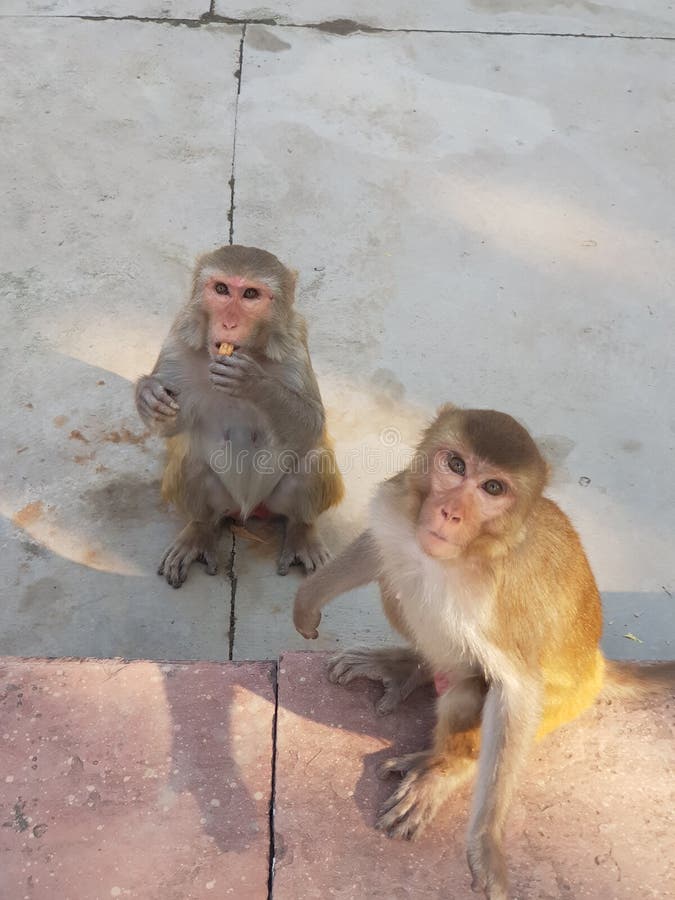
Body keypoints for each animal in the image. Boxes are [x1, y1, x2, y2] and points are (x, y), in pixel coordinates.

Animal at [135, 244, 344, 588]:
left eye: (250, 294)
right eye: (221, 289)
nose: (229, 324)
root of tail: (248, 511)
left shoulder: (293, 346)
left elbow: (312, 425)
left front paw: (253, 382)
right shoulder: (178, 341)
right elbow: (172, 427)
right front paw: (148, 396)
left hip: (273, 502)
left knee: (312, 460)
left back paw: (302, 532)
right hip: (225, 503)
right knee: (190, 461)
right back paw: (199, 530)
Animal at [293, 405, 674, 900]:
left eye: (493, 488)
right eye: (455, 465)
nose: (450, 512)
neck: (466, 555)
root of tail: (594, 666)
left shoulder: (503, 602)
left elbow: (516, 690)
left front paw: (485, 841)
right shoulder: (399, 508)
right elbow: (378, 548)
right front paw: (308, 600)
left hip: (560, 705)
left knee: (472, 690)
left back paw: (446, 766)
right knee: (402, 580)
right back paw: (412, 666)